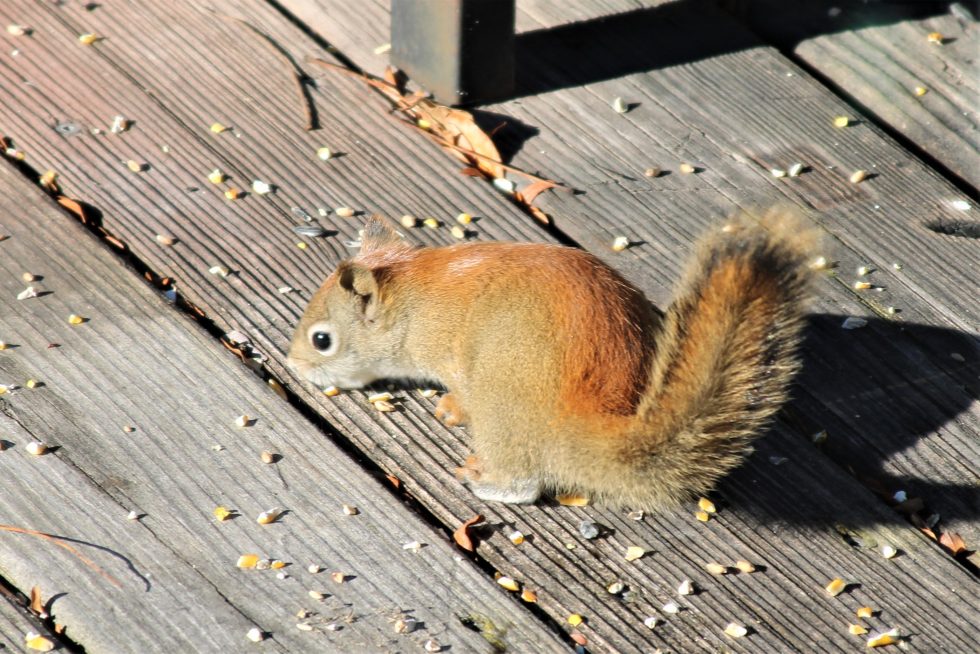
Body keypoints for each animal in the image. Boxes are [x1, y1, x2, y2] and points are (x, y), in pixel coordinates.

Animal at [287, 208, 820, 509]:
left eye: (322, 340)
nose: (295, 366)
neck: (415, 298)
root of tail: (575, 422)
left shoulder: (451, 356)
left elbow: (458, 393)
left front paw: (451, 408)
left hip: (501, 403)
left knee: (522, 482)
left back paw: (485, 480)